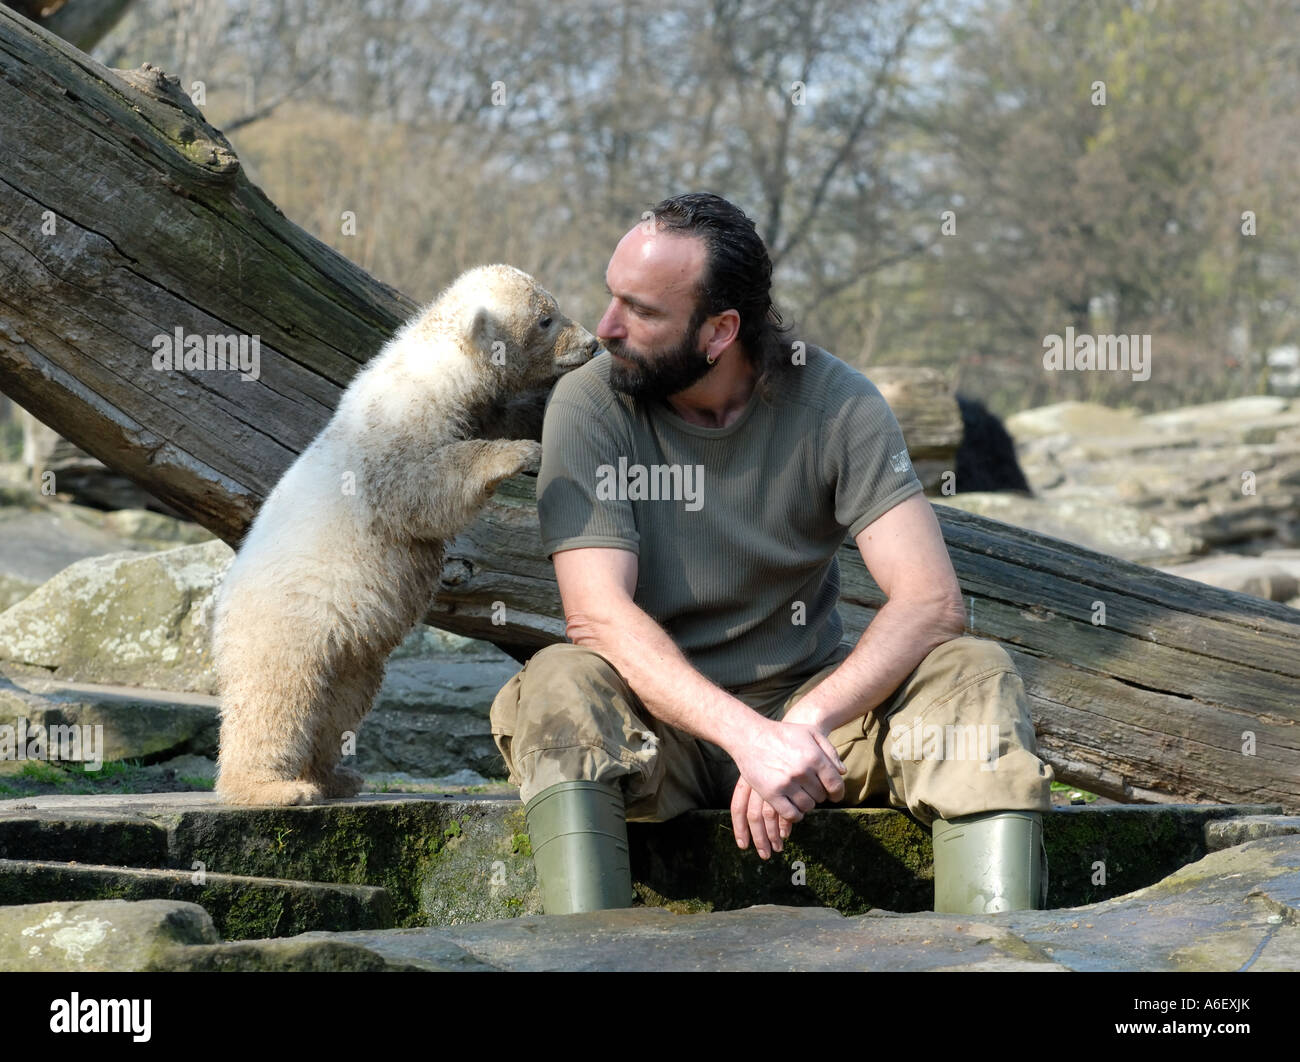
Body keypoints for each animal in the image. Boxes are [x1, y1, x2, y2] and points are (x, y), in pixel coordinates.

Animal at [212, 264, 599, 806]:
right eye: (546, 319)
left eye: (554, 308)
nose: (592, 342)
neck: (433, 370)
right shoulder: (394, 438)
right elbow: (421, 492)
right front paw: (521, 453)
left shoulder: (473, 408)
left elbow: (503, 413)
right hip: (286, 624)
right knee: (276, 700)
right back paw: (276, 788)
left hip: (347, 649)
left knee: (340, 703)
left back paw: (335, 777)